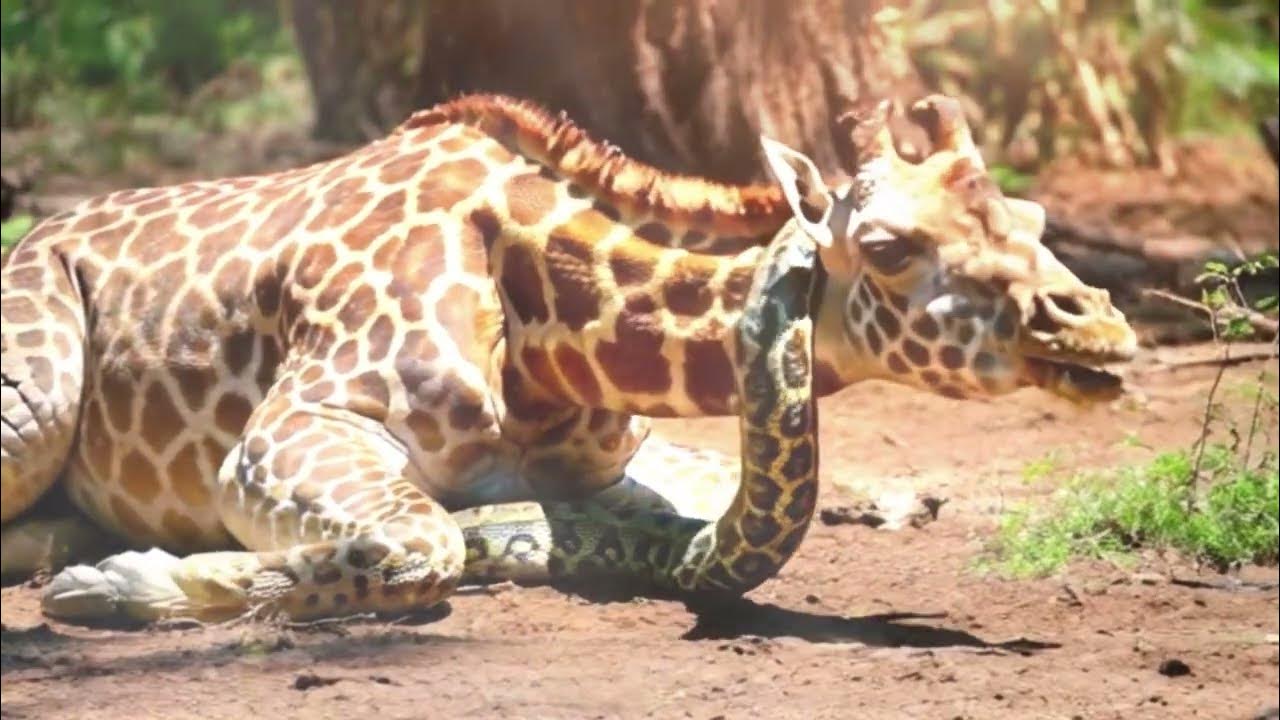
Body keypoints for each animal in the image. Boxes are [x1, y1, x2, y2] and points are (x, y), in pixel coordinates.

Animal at [0, 94, 1136, 623]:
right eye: (892, 249)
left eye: (1036, 221)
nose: (1101, 329)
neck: (542, 334)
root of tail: (36, 228)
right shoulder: (295, 424)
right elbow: (424, 543)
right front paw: (132, 585)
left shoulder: (604, 470)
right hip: (35, 402)